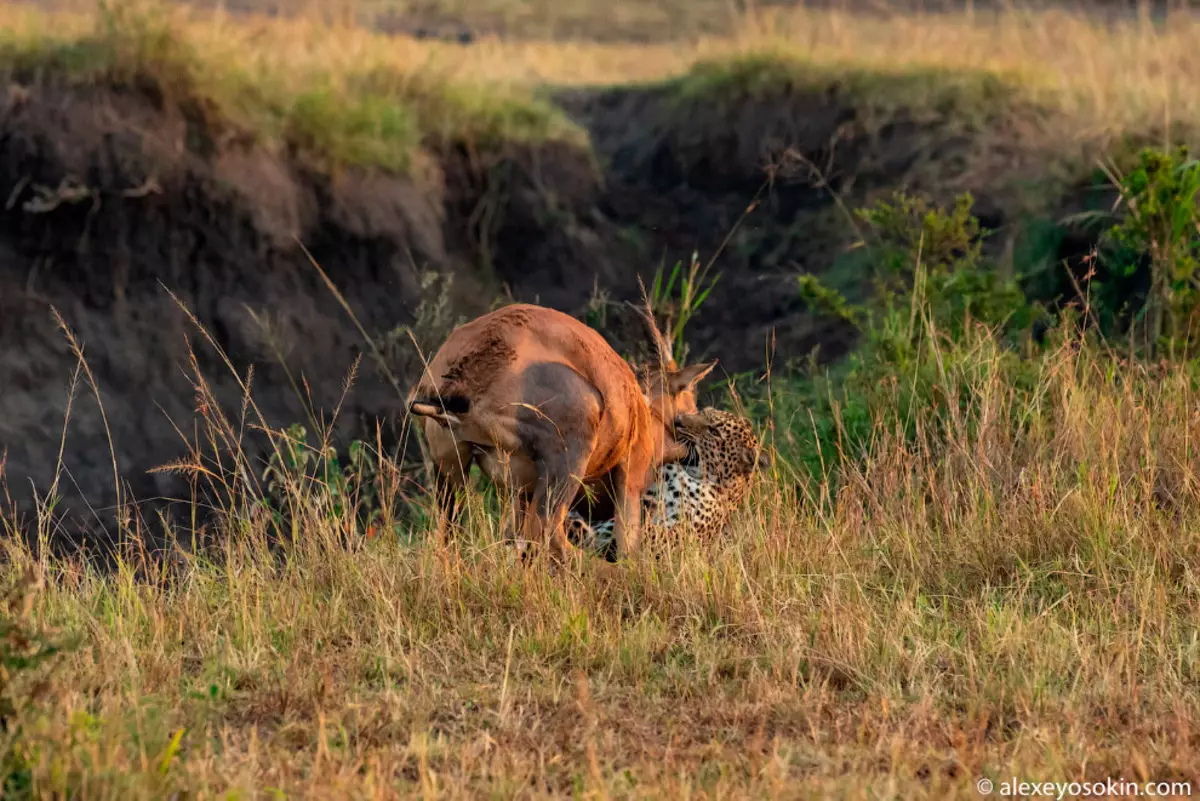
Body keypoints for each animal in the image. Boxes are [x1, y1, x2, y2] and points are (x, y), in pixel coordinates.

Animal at [408, 303, 715, 561]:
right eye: (687, 398)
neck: (638, 402)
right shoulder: (630, 479)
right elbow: (626, 549)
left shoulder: (522, 492)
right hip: (567, 460)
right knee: (548, 532)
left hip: (451, 472)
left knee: (451, 536)